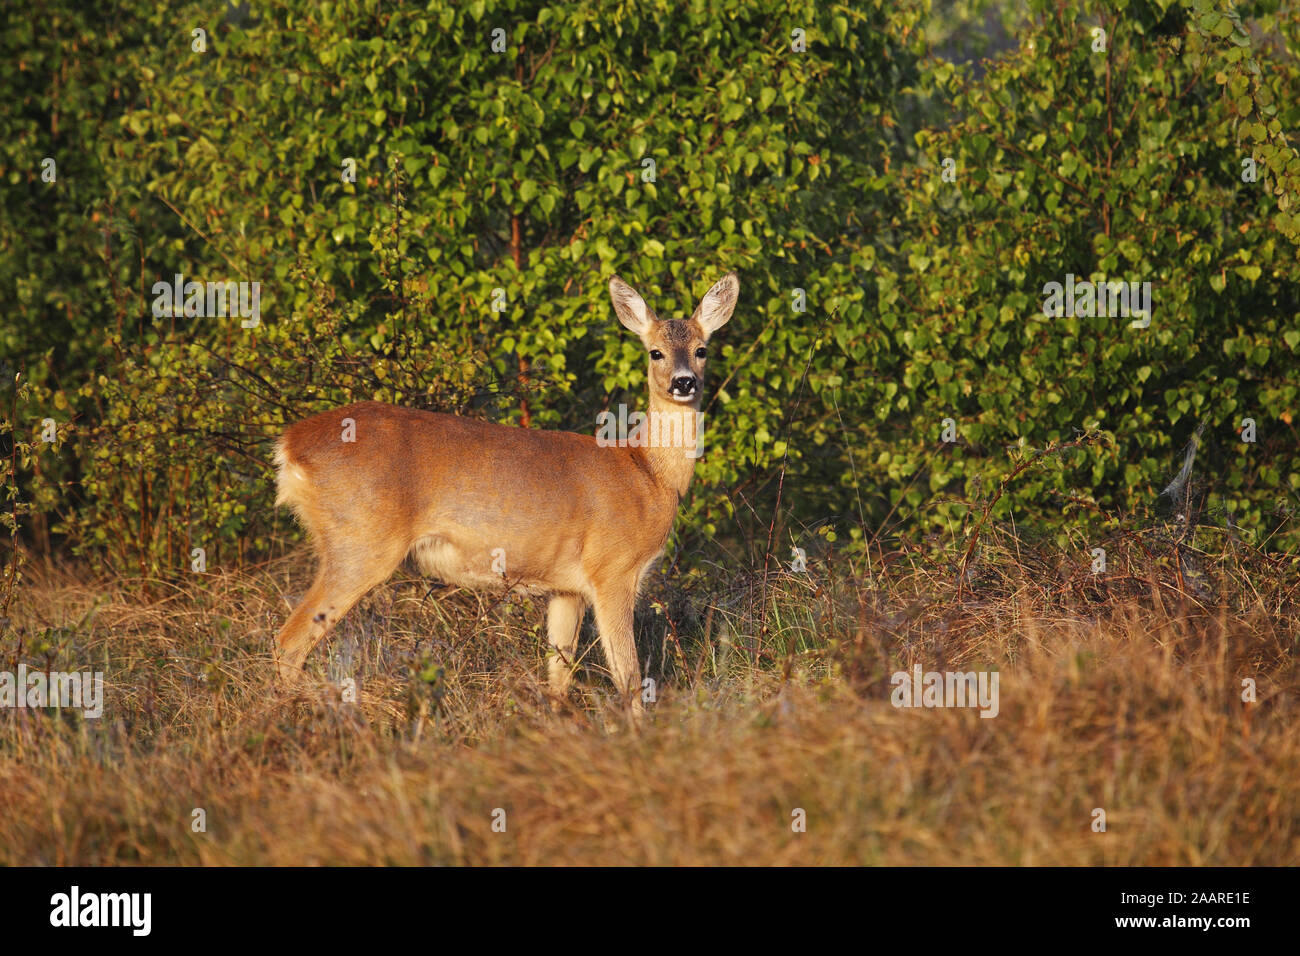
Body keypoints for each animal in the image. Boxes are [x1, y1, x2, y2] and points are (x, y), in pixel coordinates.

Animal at [271, 271, 740, 718]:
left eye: (701, 349)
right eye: (654, 352)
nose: (684, 382)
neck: (649, 472)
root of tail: (290, 445)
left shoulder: (566, 588)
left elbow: (558, 673)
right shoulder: (612, 569)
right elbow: (628, 677)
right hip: (360, 542)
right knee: (288, 640)